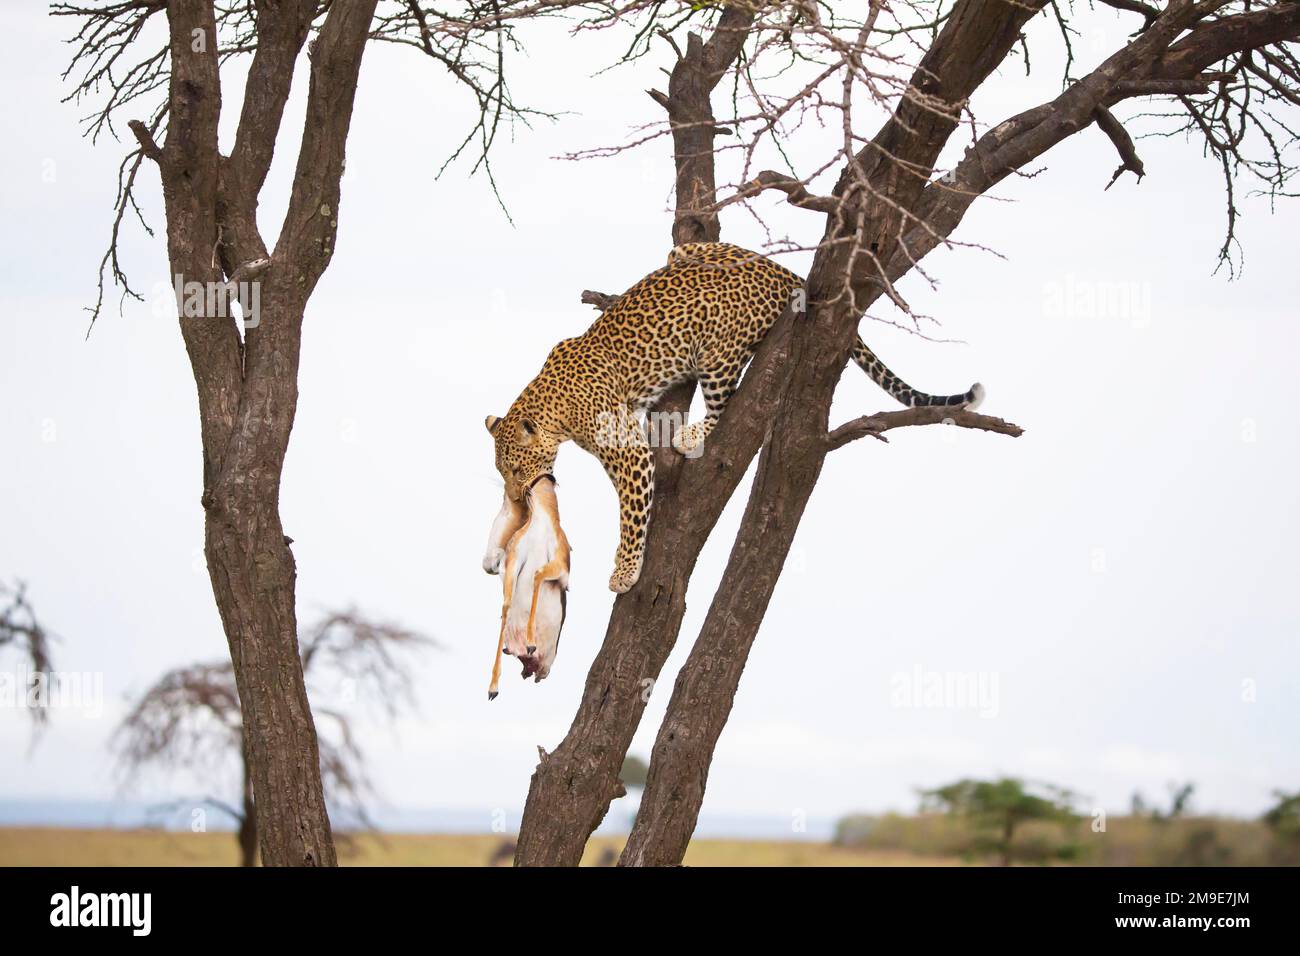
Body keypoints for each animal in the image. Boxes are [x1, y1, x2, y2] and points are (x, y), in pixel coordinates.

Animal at [485, 241, 983, 594]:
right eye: (503, 473)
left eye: (516, 469)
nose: (515, 493)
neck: (549, 403)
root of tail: (784, 273)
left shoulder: (628, 453)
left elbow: (631, 514)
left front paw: (625, 572)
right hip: (688, 256)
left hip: (716, 353)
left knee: (723, 403)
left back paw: (693, 434)